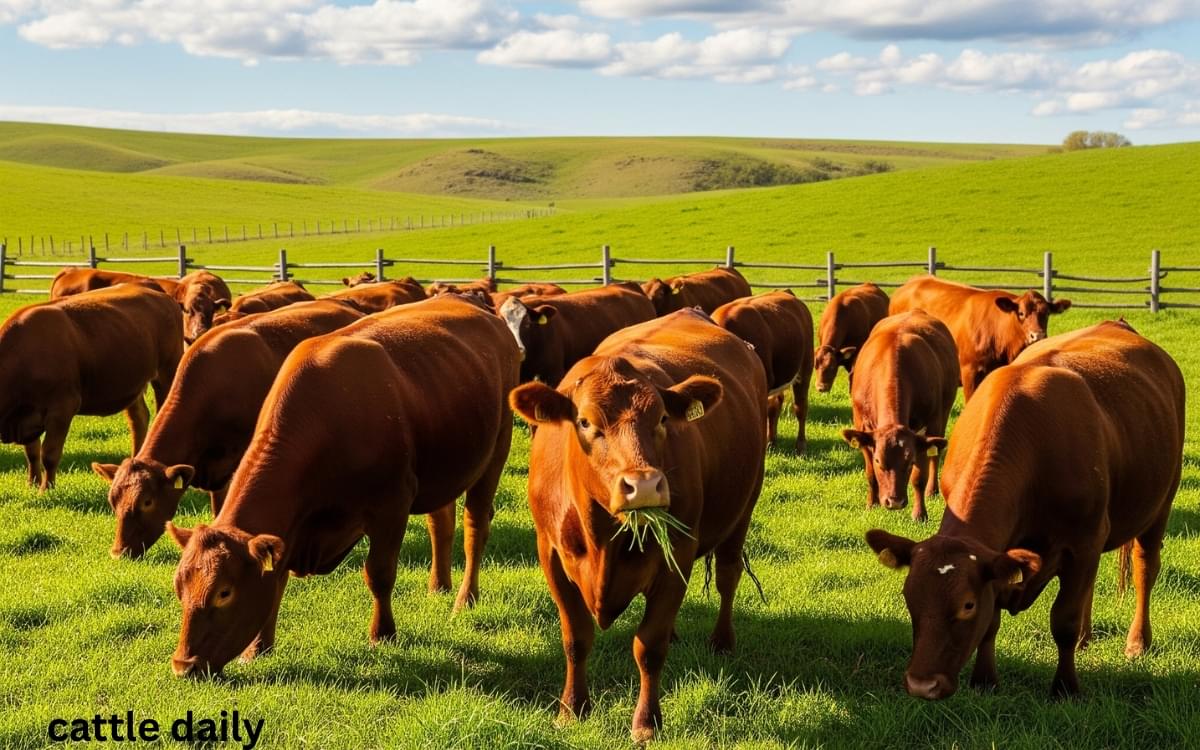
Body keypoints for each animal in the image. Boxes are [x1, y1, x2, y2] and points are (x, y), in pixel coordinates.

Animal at [0, 285, 182, 491]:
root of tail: (164, 297)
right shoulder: (27, 414)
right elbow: (32, 452)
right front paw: (32, 484)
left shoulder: (62, 408)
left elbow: (49, 454)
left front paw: (46, 489)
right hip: (132, 383)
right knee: (139, 418)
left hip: (168, 371)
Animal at [165, 295, 519, 677]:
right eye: (180, 588)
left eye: (224, 593)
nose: (183, 666)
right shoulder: (291, 528)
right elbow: (276, 579)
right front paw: (258, 648)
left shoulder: (392, 505)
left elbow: (379, 573)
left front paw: (383, 634)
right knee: (441, 523)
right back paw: (438, 587)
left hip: (496, 450)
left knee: (475, 527)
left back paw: (465, 600)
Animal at [510, 308, 768, 741]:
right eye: (584, 422)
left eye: (662, 418)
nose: (644, 484)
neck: (601, 538)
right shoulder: (551, 554)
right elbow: (575, 638)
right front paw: (572, 709)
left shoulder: (676, 554)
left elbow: (649, 646)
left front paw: (646, 723)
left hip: (744, 506)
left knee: (728, 574)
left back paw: (722, 640)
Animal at [841, 310, 957, 522]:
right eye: (879, 461)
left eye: (909, 462)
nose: (894, 502)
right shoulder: (862, 427)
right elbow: (870, 474)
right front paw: (871, 504)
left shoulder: (924, 431)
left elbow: (919, 478)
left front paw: (920, 514)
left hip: (942, 416)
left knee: (935, 455)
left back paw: (932, 490)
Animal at [866, 320, 1184, 701]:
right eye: (909, 597)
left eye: (968, 605)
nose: (921, 684)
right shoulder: (1003, 556)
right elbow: (994, 621)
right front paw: (985, 680)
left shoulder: (1084, 540)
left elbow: (1063, 619)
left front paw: (1065, 687)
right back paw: (1085, 639)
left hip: (1159, 505)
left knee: (1144, 568)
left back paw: (1137, 642)